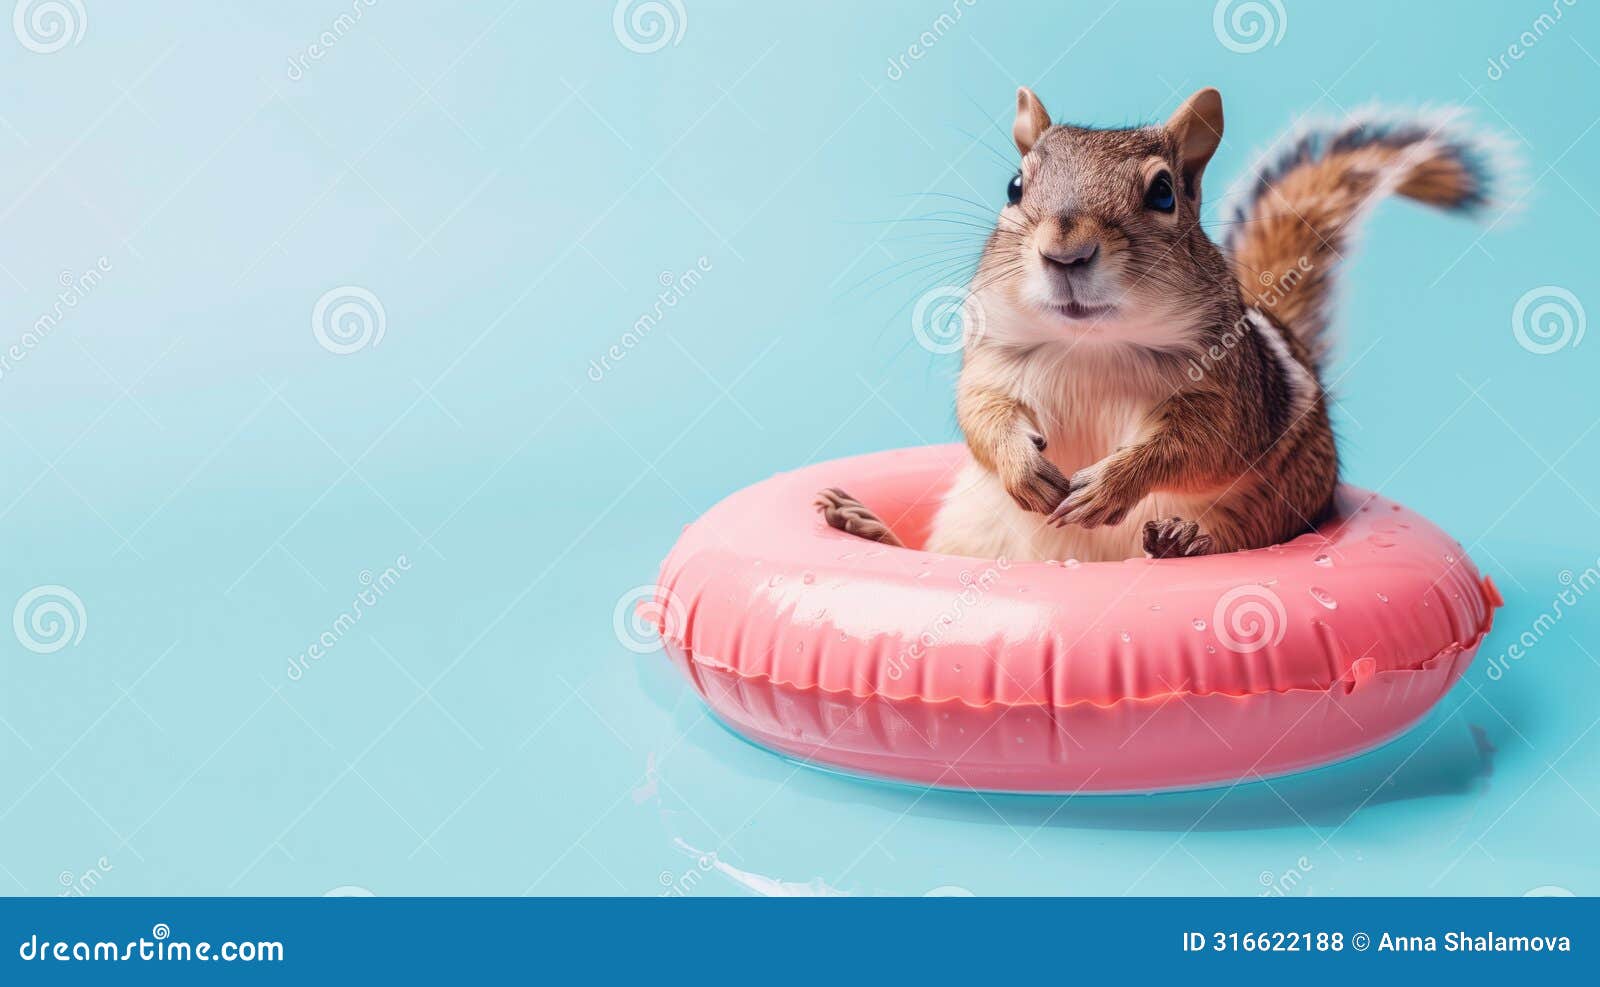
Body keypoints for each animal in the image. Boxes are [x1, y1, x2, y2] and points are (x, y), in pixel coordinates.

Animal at [817, 87, 1508, 562]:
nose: (1065, 254)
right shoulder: (993, 362)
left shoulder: (1227, 392)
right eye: (1014, 186)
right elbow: (981, 414)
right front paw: (1020, 464)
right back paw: (863, 525)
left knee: (1230, 533)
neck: (1089, 346)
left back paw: (1182, 540)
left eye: (1163, 193)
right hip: (973, 527)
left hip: (1269, 506)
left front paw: (1113, 482)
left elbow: (1197, 445)